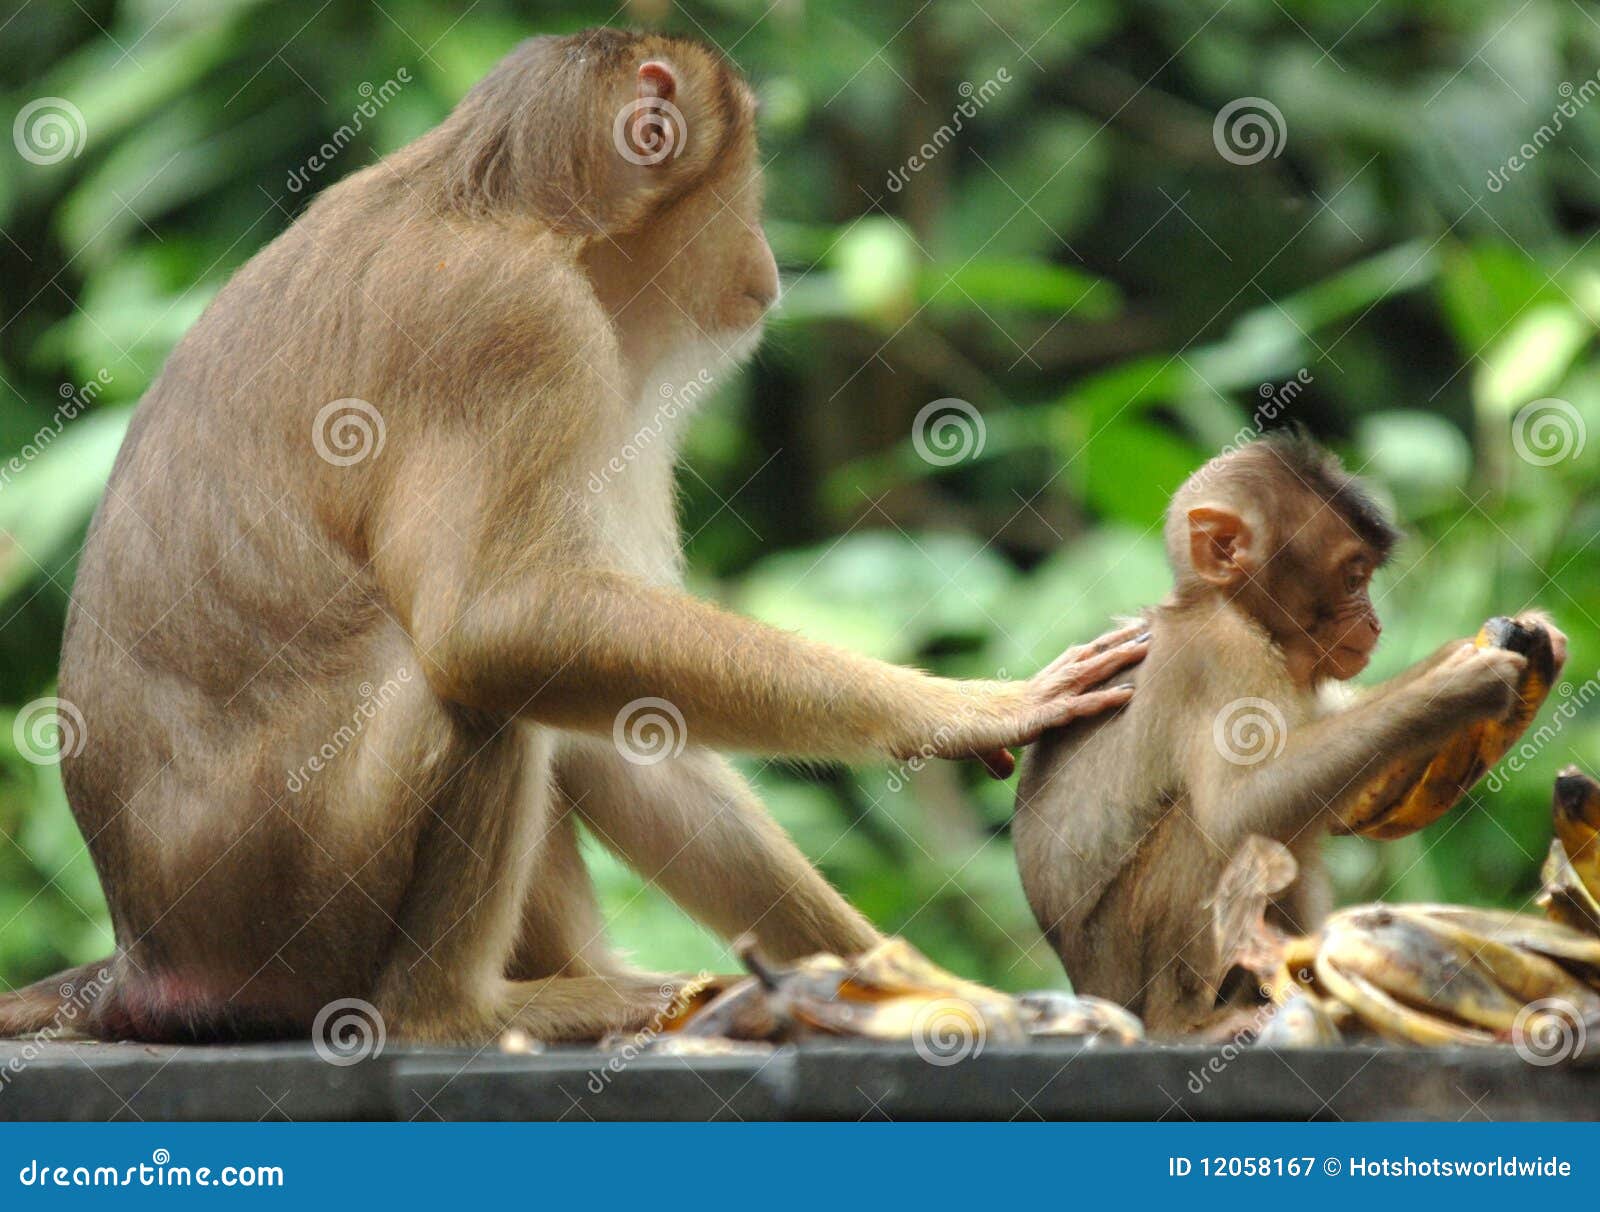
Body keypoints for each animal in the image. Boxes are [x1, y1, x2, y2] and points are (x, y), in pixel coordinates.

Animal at [0, 29, 1148, 1045]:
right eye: (749, 191)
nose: (769, 271)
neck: (494, 196)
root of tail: (151, 961)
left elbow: (624, 718)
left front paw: (928, 986)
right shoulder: (518, 327)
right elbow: (497, 624)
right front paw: (960, 711)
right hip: (296, 905)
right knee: (467, 692)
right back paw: (464, 1014)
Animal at [1014, 433, 1566, 1035]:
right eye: (1352, 577)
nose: (1374, 623)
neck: (1235, 613)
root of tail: (1091, 987)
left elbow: (1350, 801)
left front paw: (1528, 643)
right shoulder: (1220, 656)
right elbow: (1239, 810)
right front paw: (1457, 684)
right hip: (1129, 964)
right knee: (1215, 829)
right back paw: (1189, 1022)